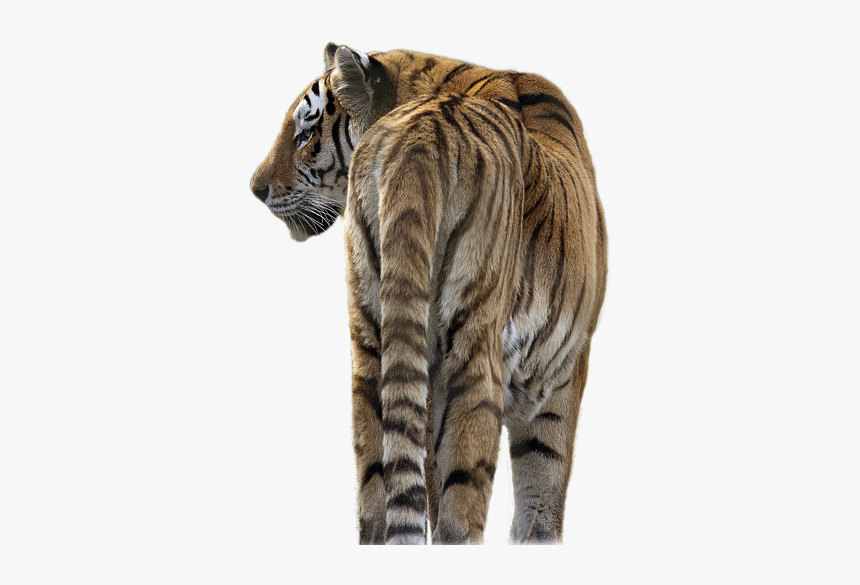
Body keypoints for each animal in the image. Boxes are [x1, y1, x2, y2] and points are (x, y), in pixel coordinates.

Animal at [250, 43, 607, 545]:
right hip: (470, 345)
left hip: (372, 337)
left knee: (377, 494)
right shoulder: (561, 375)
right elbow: (540, 497)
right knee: (457, 509)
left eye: (306, 133)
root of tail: (422, 133)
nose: (255, 188)